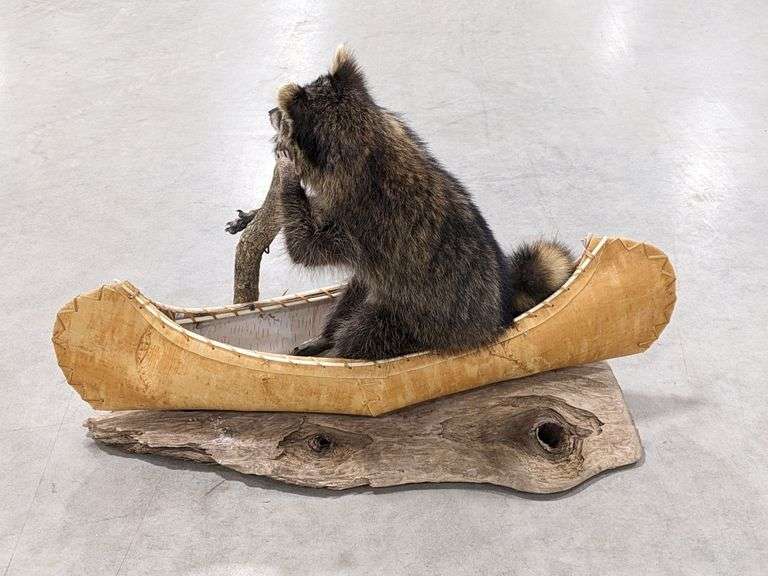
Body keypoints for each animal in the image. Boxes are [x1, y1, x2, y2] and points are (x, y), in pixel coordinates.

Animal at [273, 46, 575, 360]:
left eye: (283, 118)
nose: (271, 113)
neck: (366, 141)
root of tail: (497, 314)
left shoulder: (358, 222)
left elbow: (304, 248)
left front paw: (288, 180)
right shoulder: (398, 130)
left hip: (416, 320)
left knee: (362, 332)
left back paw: (338, 350)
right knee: (357, 291)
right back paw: (328, 334)